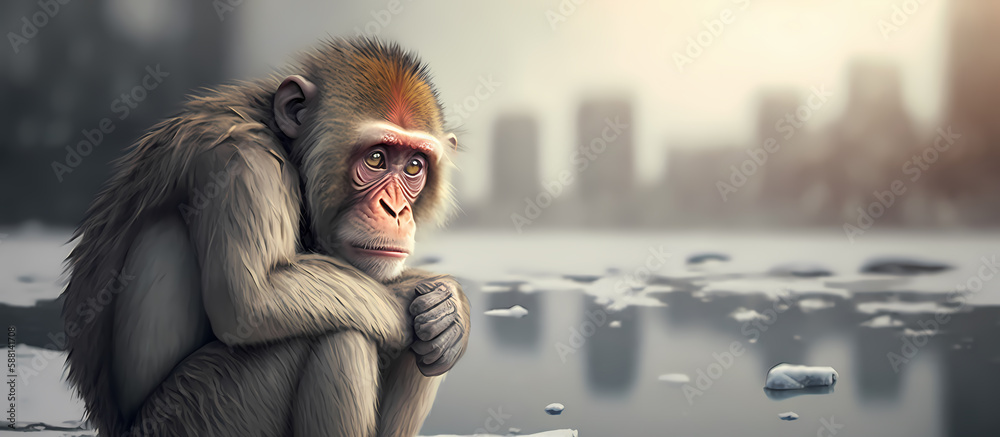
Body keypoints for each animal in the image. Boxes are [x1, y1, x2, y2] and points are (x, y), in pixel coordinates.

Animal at [60, 37, 470, 437]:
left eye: (414, 166)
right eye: (375, 159)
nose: (395, 210)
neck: (289, 151)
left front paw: (450, 313)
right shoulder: (241, 162)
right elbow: (250, 297)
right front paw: (418, 299)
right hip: (194, 415)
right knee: (341, 335)